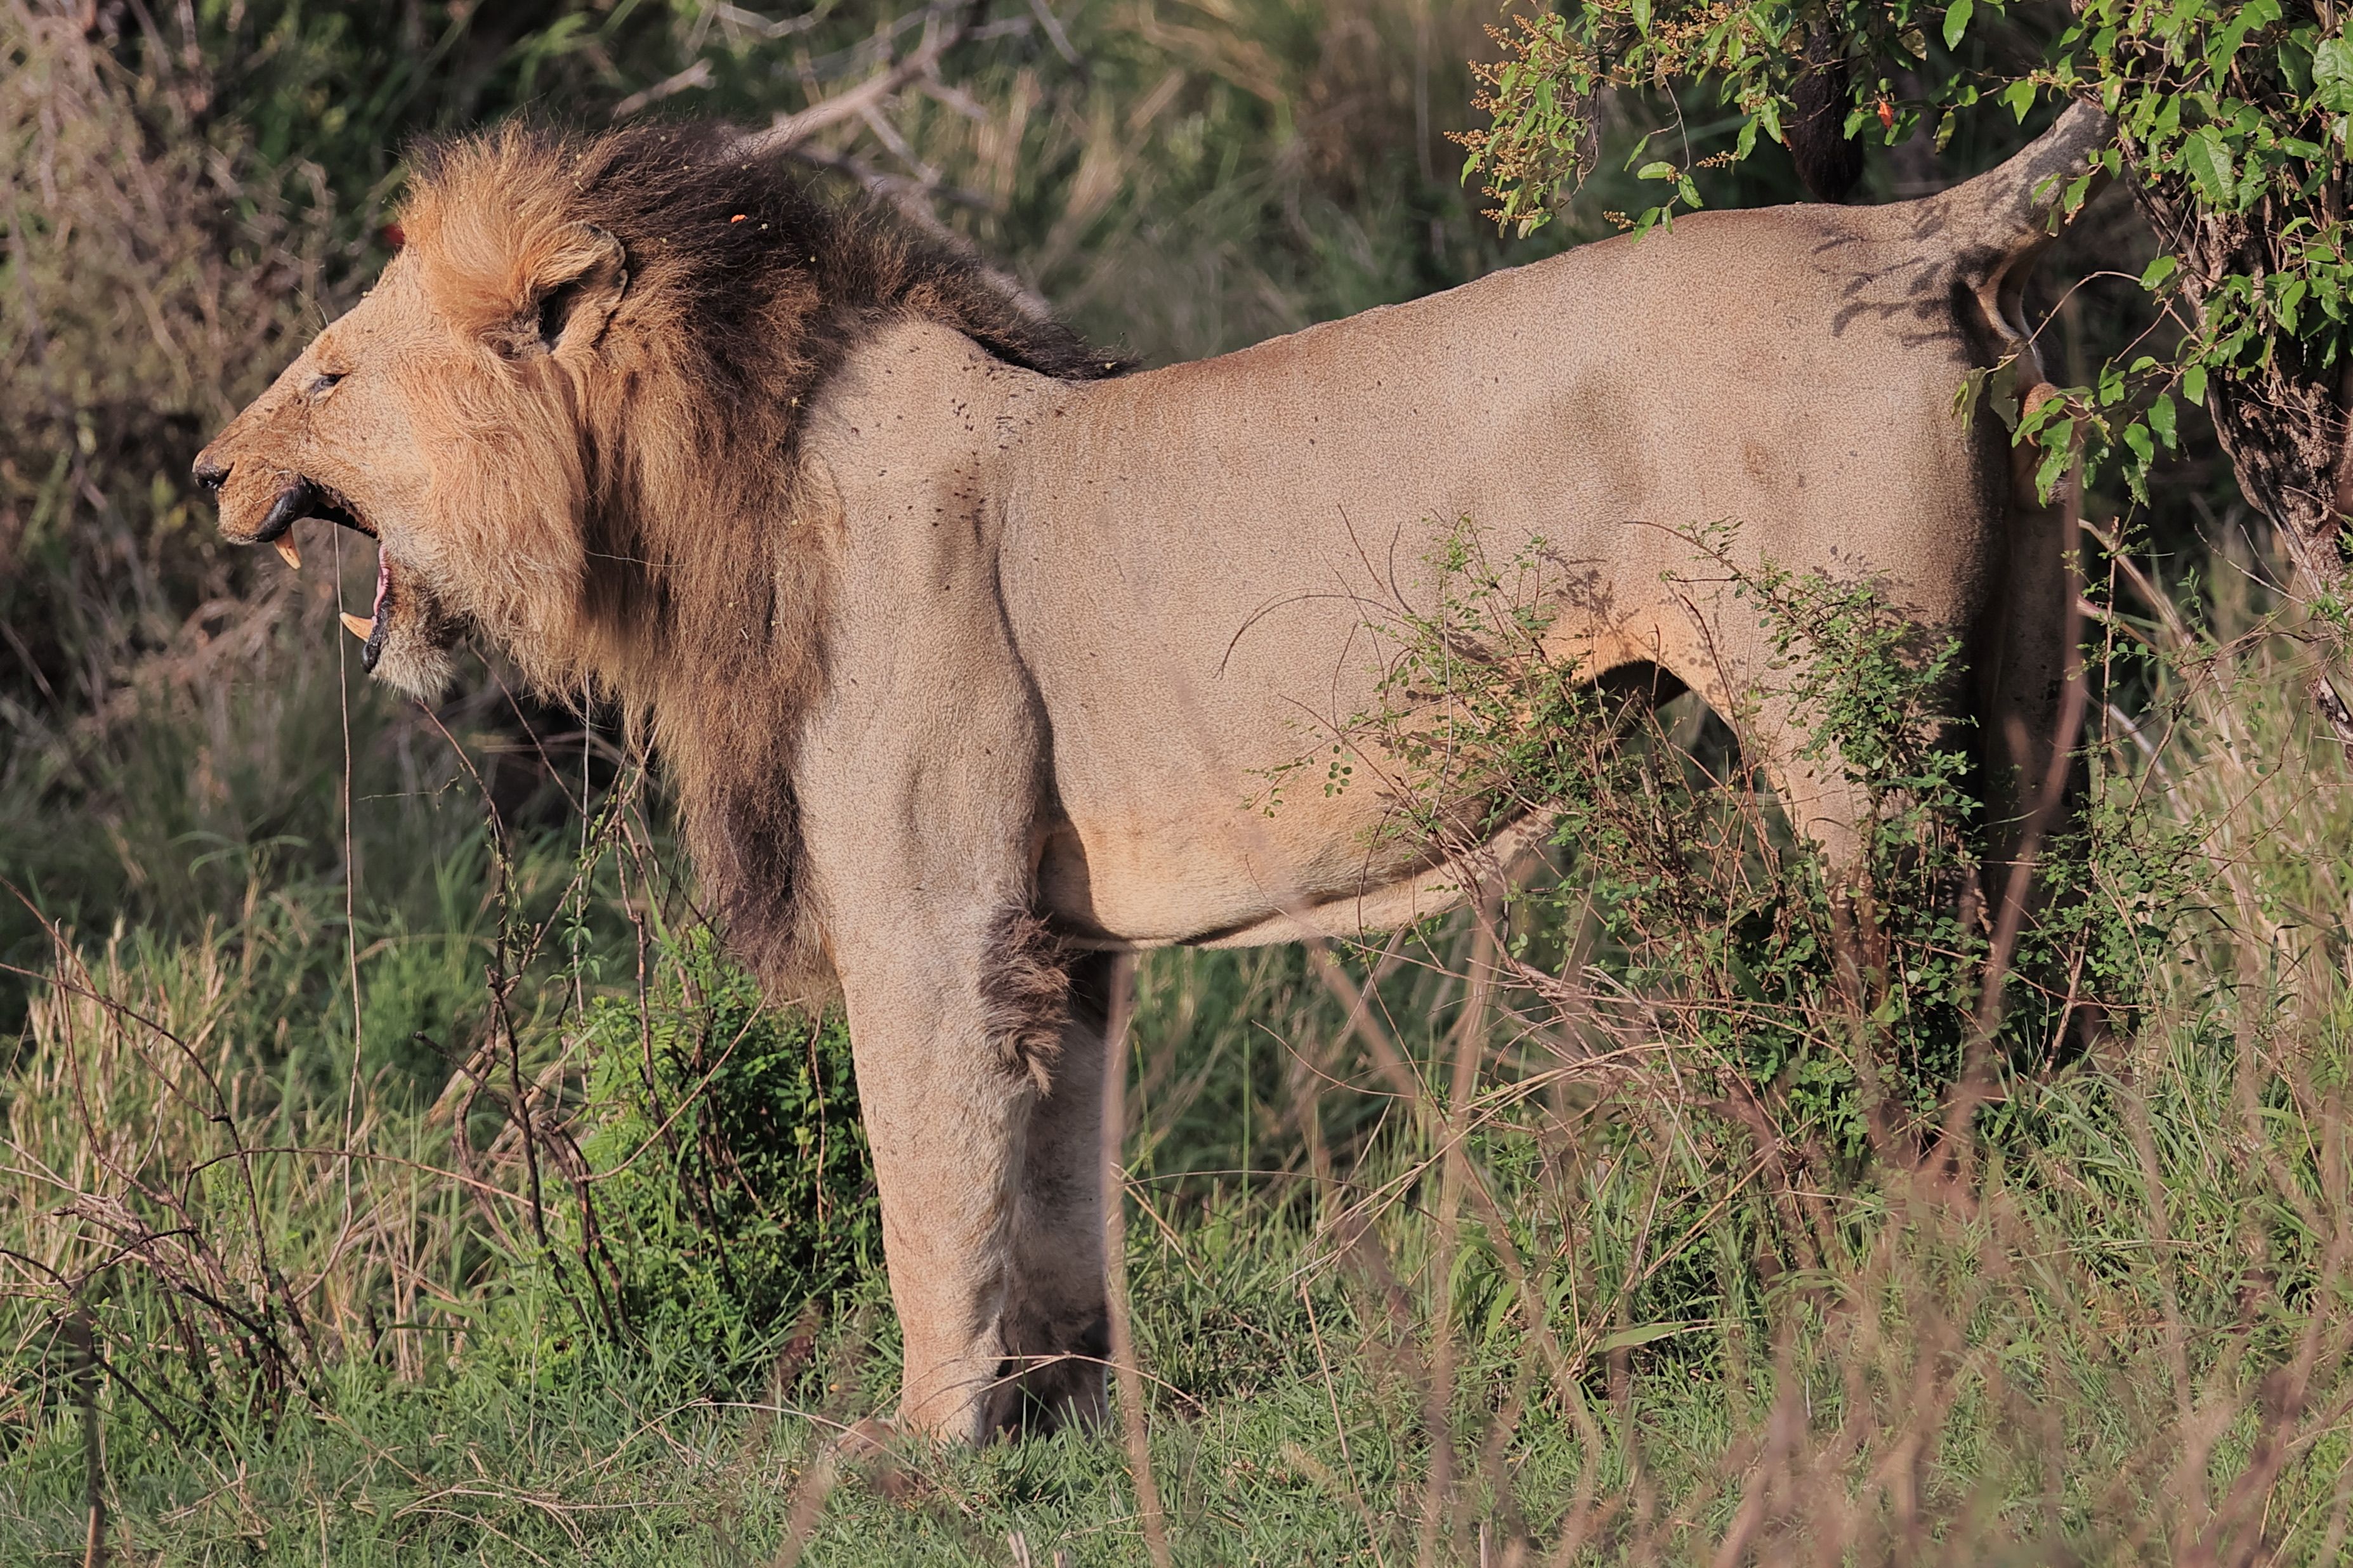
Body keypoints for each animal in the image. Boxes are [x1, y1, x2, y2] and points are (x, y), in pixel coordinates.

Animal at [195, 107, 2111, 1444]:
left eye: (330, 372)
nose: (208, 469)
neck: (696, 492)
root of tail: (1906, 223)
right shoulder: (1057, 935)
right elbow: (1047, 1179)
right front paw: (1058, 1408)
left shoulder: (929, 914)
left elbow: (923, 1167)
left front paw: (920, 1439)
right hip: (2032, 697)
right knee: (2055, 953)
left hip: (1843, 721)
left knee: (1920, 973)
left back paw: (1911, 1229)